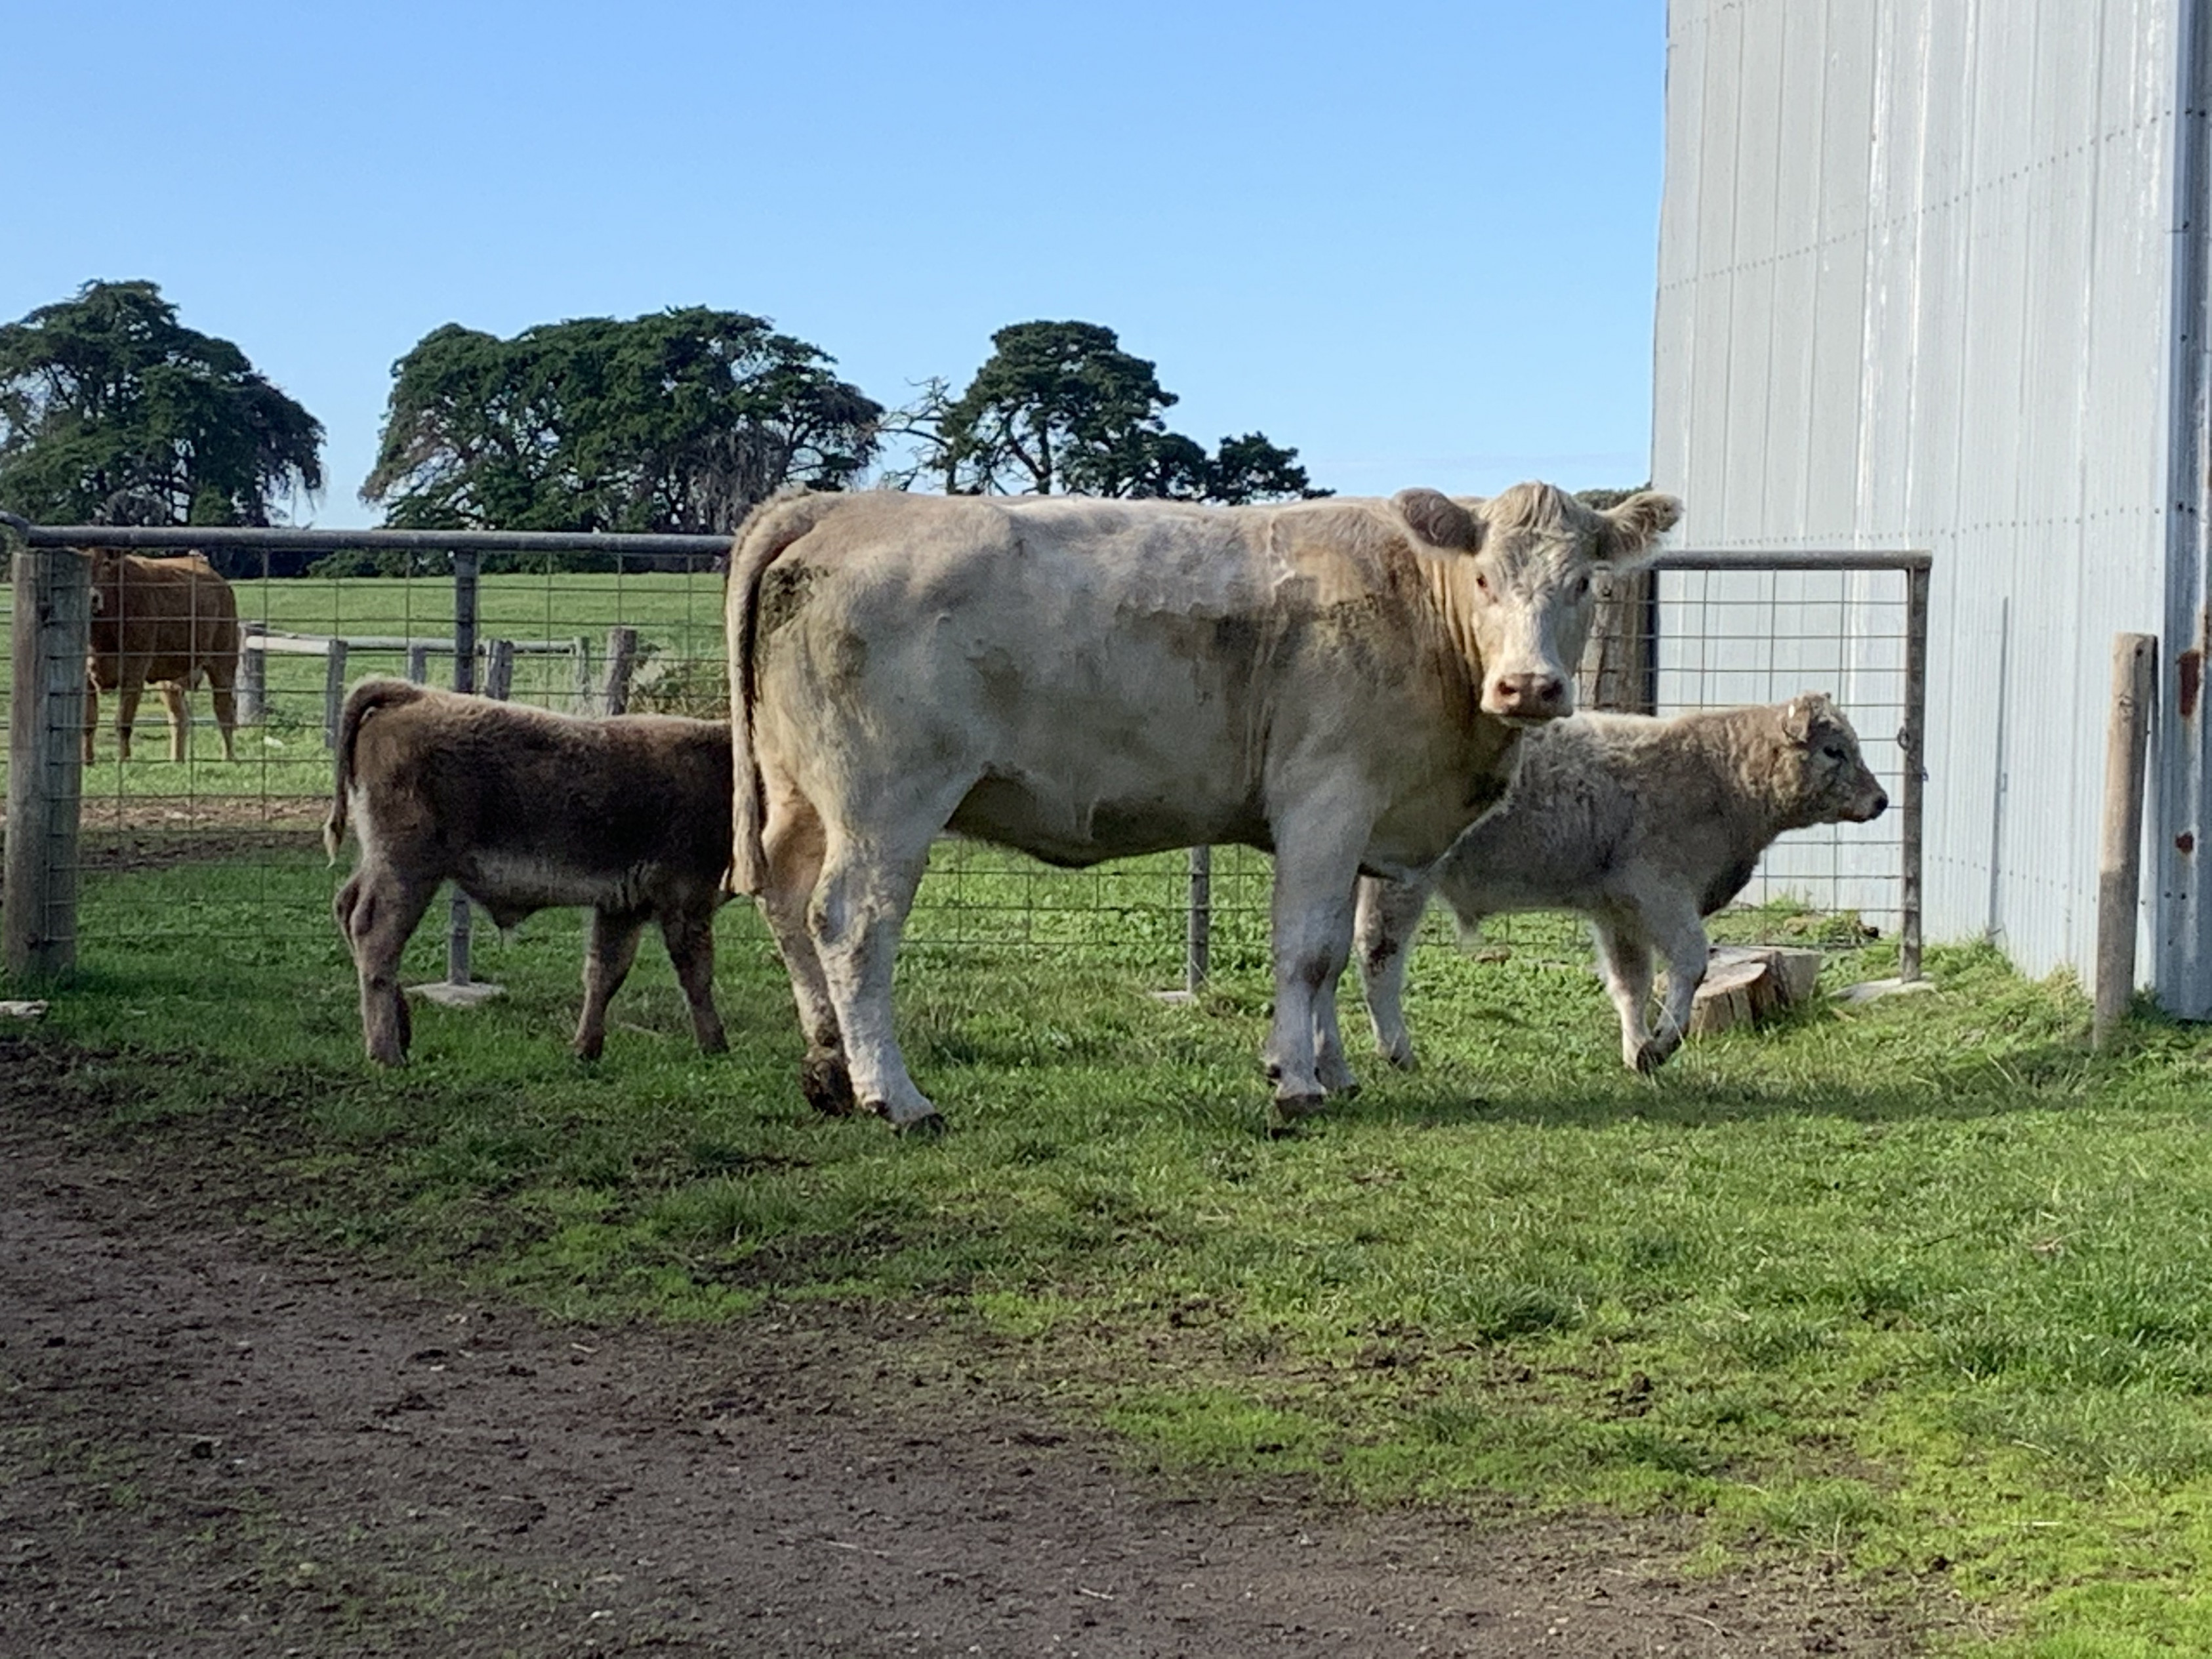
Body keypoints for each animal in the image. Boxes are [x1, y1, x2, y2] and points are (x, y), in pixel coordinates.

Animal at [83, 549, 242, 764]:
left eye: (106, 563)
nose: (92, 598)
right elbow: (88, 723)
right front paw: (87, 762)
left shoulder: (134, 672)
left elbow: (123, 722)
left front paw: (123, 762)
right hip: (169, 680)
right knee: (179, 717)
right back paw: (177, 761)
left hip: (223, 663)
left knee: (224, 710)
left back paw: (229, 759)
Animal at [324, 678, 734, 1066]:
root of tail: (414, 695)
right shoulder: (687, 899)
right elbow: (696, 974)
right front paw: (716, 1046)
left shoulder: (623, 905)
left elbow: (605, 973)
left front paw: (586, 1048)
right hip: (406, 869)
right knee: (375, 935)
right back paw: (387, 1053)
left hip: (381, 863)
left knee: (347, 907)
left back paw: (403, 1033)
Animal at [724, 483, 1681, 1131]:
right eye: (1484, 579)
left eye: (1586, 583)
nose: (1530, 686)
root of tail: (837, 505)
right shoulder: (1326, 800)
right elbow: (1309, 949)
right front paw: (1297, 1082)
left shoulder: (1356, 824)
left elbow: (1333, 956)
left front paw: (1334, 1071)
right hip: (889, 800)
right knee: (852, 924)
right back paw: (895, 1095)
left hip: (801, 793)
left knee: (787, 906)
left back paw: (829, 1075)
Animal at [1354, 692, 1890, 1075]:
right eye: (1834, 750)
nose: (1882, 799)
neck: (1718, 775)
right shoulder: (1660, 889)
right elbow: (1691, 961)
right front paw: (1664, 1042)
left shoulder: (1618, 910)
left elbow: (1631, 982)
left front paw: (1638, 1050)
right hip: (1398, 878)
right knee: (1378, 952)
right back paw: (1397, 1050)